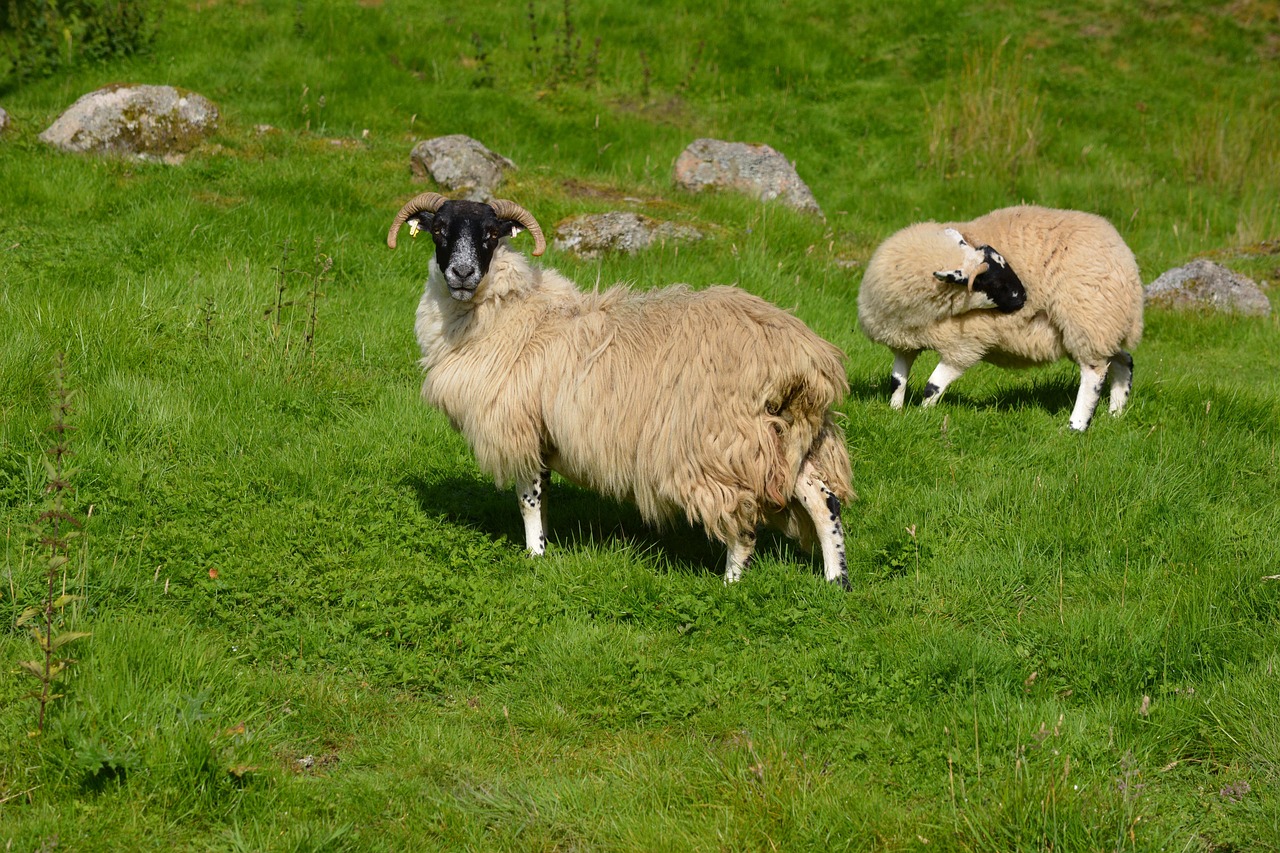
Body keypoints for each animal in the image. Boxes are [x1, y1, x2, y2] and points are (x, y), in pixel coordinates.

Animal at [387, 191, 855, 584]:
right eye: (439, 230)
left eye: (489, 235)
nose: (462, 273)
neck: (510, 315)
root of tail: (802, 356)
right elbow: (540, 497)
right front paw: (544, 549)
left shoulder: (520, 427)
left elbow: (529, 500)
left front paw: (535, 555)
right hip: (785, 439)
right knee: (824, 499)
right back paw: (836, 581)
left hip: (718, 445)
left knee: (743, 520)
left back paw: (731, 583)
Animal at [856, 204, 1143, 431]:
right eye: (993, 282)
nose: (1025, 299)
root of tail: (1127, 260)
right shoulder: (904, 342)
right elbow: (896, 382)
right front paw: (896, 412)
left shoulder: (963, 346)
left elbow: (932, 386)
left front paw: (923, 415)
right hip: (1093, 329)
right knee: (1121, 361)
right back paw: (1115, 412)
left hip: (1089, 319)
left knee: (1093, 372)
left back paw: (1076, 425)